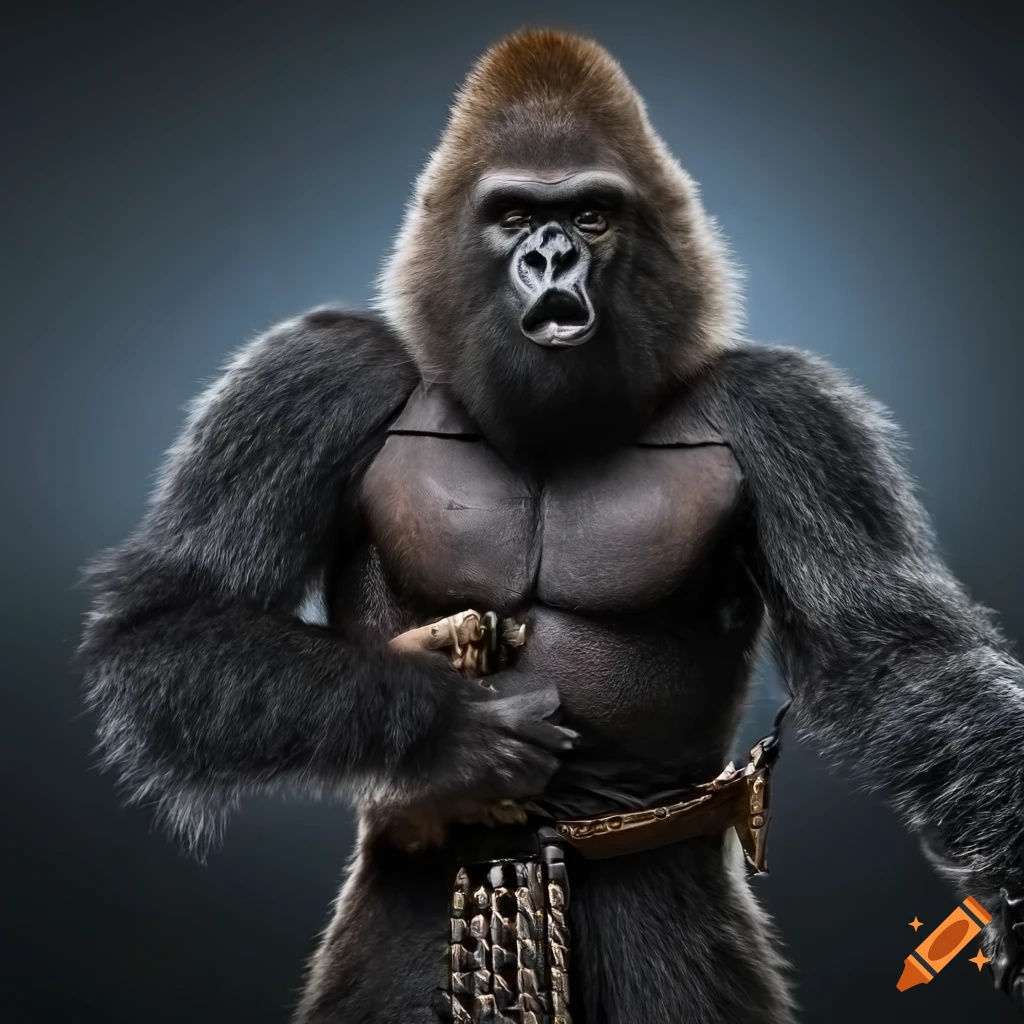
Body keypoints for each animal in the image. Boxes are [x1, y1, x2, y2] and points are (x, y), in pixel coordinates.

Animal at [80, 28, 1024, 1024]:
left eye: (591, 216)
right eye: (514, 215)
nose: (549, 257)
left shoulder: (793, 417)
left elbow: (890, 654)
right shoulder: (310, 375)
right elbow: (173, 626)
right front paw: (453, 729)